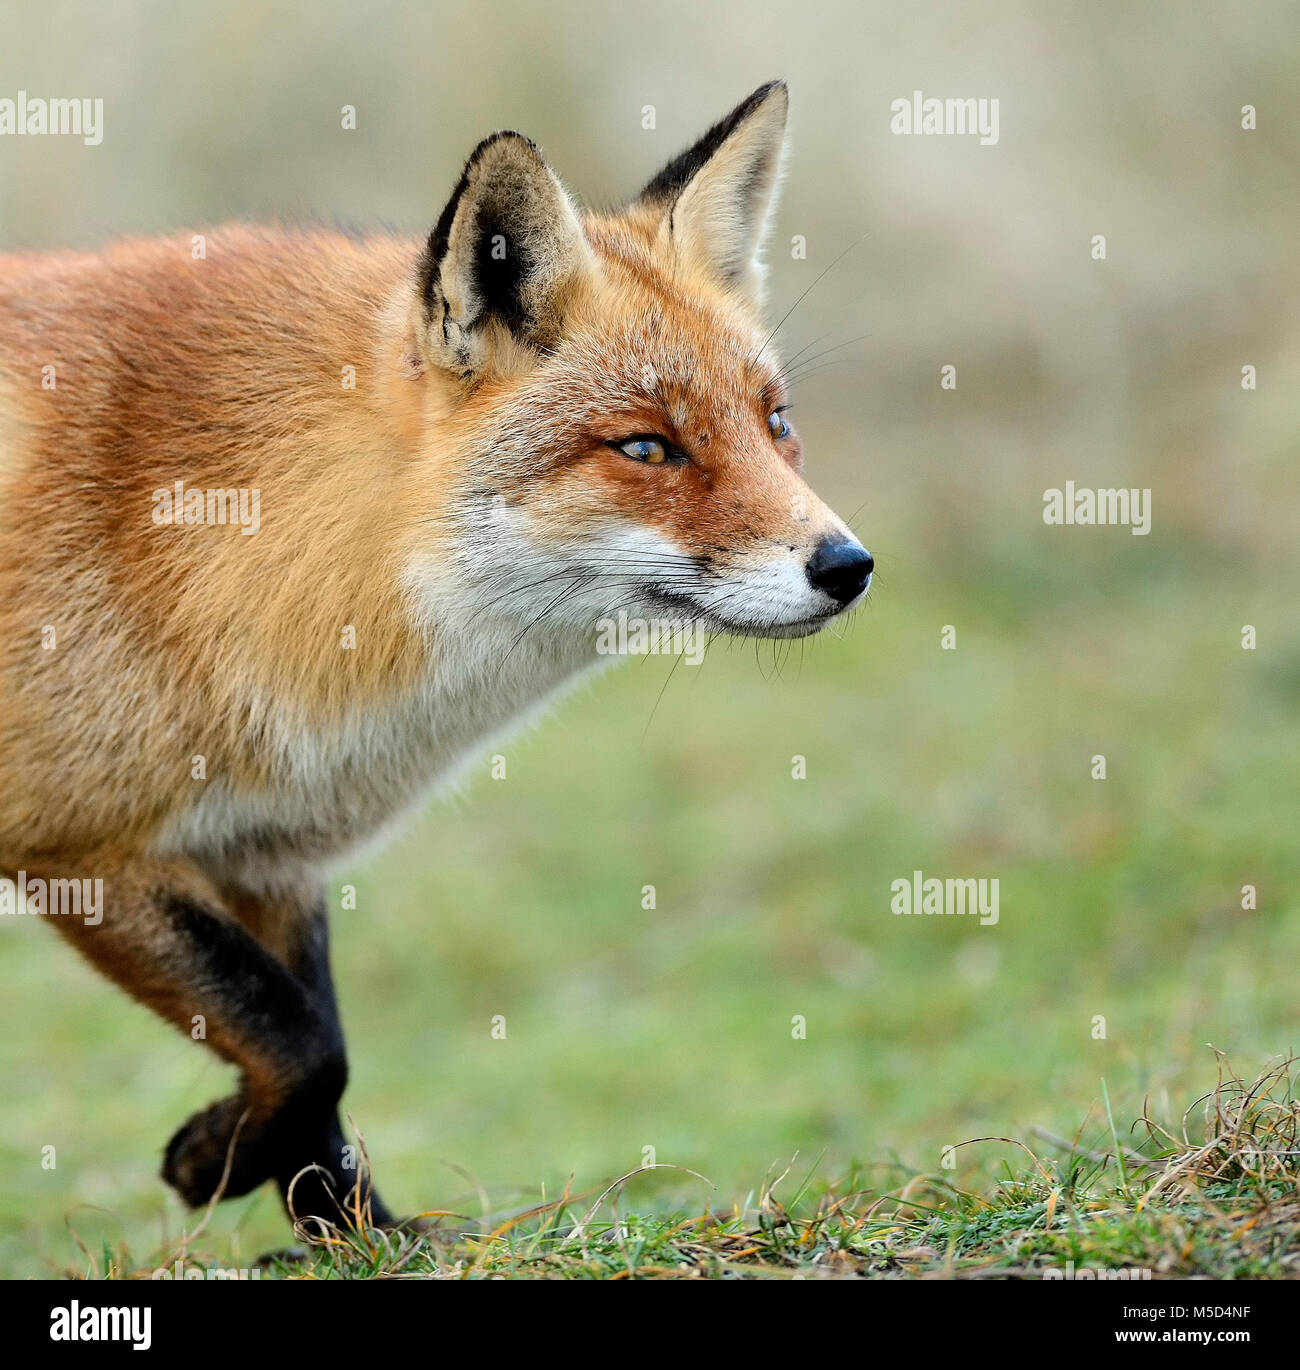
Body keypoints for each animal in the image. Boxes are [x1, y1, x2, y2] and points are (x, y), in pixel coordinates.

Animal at [0, 80, 873, 1229]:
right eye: (646, 447)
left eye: (775, 425)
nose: (848, 564)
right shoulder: (76, 845)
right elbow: (297, 1038)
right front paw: (217, 1161)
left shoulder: (267, 853)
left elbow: (319, 1055)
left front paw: (355, 1228)